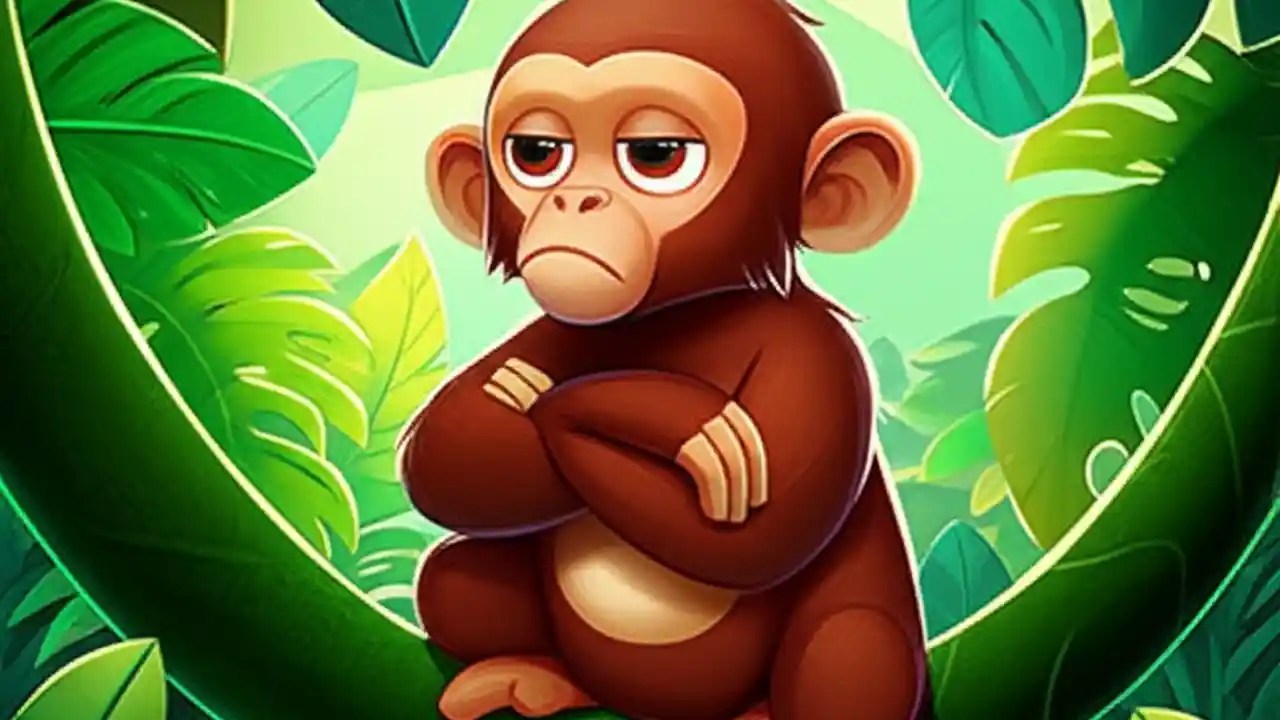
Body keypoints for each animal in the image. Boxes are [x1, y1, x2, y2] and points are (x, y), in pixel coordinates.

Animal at [399, 1, 930, 718]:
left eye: (655, 154)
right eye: (537, 153)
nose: (574, 199)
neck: (678, 316)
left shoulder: (822, 360)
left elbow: (771, 531)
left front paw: (669, 415)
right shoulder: (546, 333)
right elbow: (451, 449)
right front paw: (683, 420)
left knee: (852, 646)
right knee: (451, 577)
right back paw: (528, 675)